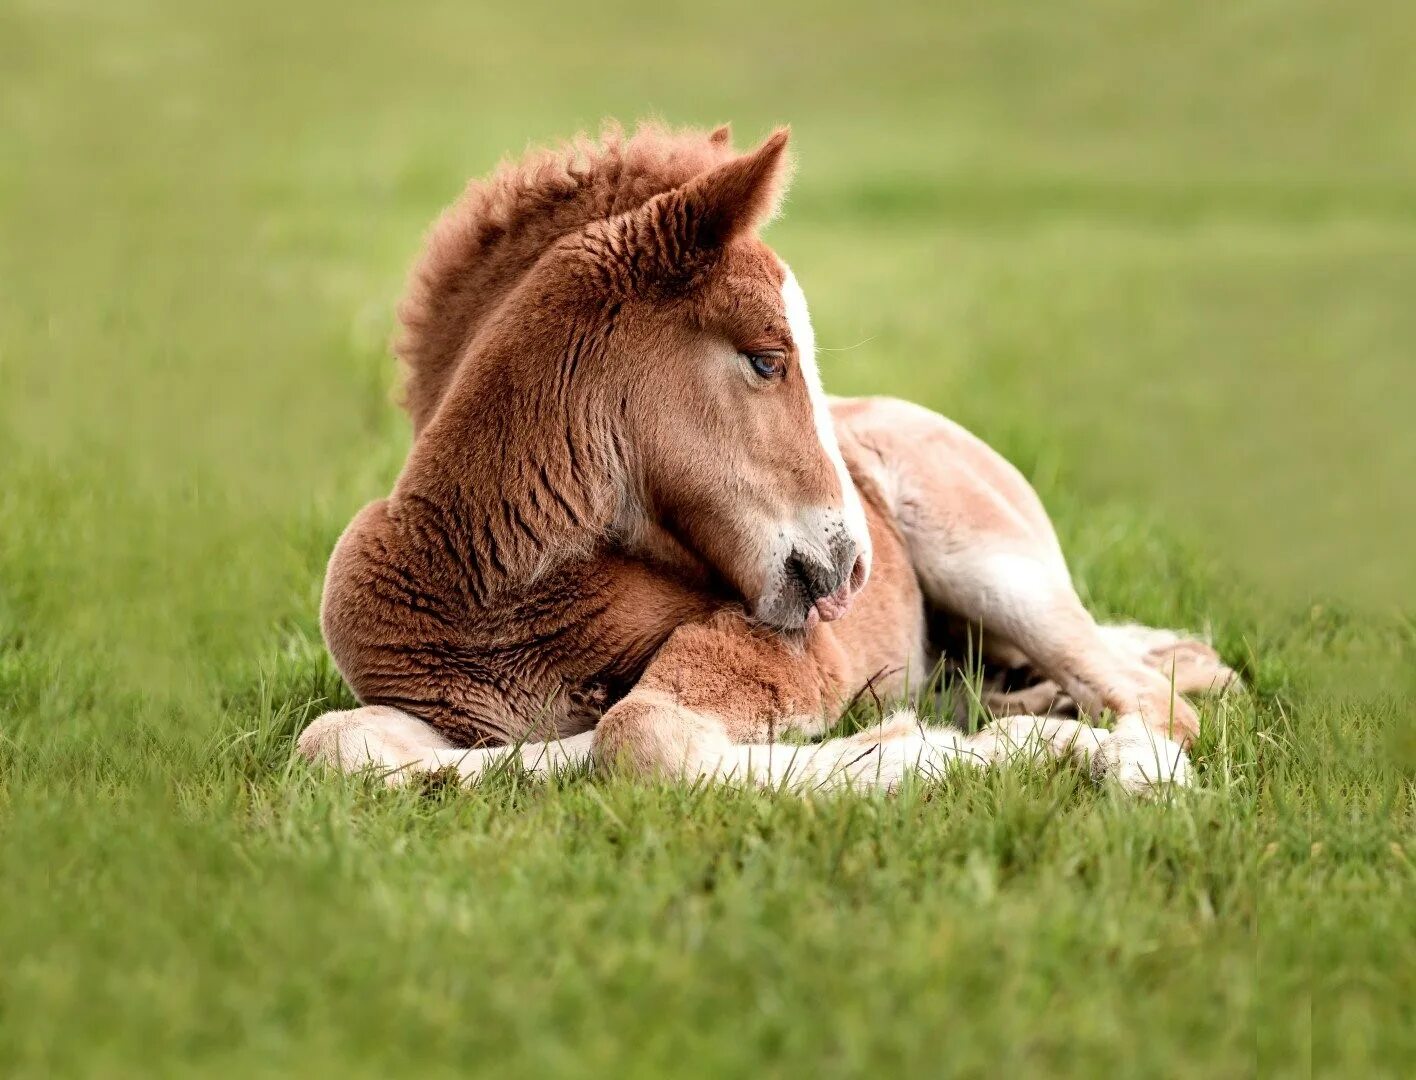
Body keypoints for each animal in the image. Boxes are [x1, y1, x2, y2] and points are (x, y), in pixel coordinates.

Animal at [293, 124, 1234, 792]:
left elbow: (637, 736)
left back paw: (1120, 758)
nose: (854, 566)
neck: (498, 591)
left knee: (1150, 700)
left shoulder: (786, 656)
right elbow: (331, 741)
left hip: (993, 565)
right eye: (767, 360)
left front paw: (943, 751)